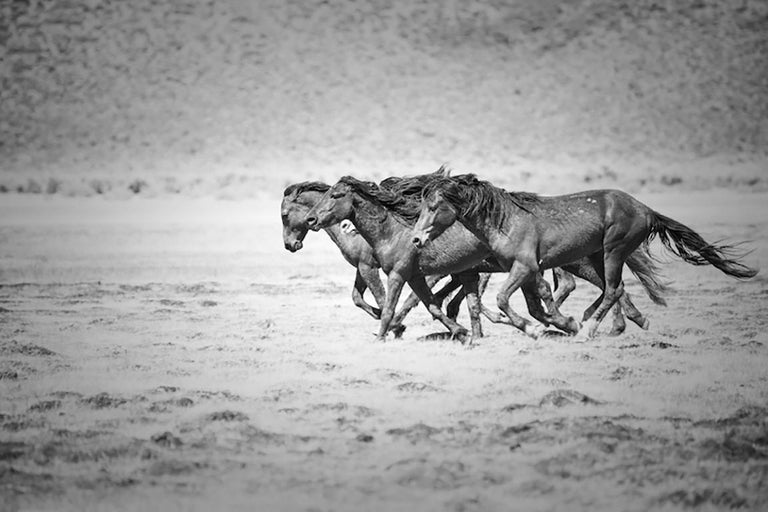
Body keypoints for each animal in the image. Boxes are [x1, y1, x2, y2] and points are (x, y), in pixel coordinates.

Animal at [411, 173, 757, 339]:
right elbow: (534, 305)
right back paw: (599, 321)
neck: (506, 220)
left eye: (433, 207)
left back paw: (592, 327)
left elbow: (503, 301)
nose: (416, 238)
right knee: (612, 289)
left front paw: (543, 328)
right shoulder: (525, 271)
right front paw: (559, 323)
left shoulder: (524, 267)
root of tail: (646, 210)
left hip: (612, 252)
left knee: (613, 289)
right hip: (596, 257)